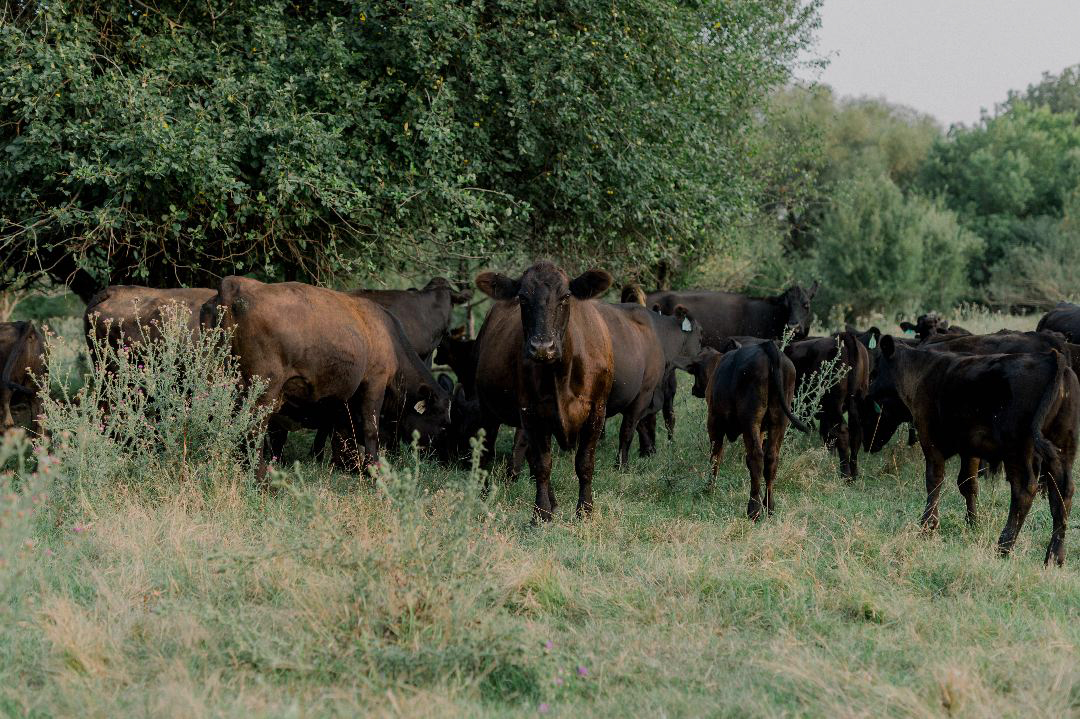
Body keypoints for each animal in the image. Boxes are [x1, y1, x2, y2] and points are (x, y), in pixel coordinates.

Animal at [205, 277, 451, 479]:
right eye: (442, 425)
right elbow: (370, 429)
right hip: (265, 388)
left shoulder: (344, 397)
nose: (439, 459)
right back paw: (260, 475)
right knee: (254, 427)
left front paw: (346, 465)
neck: (390, 337)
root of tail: (238, 284)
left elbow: (343, 429)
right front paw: (374, 470)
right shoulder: (375, 382)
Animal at [473, 261, 615, 520]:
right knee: (488, 451)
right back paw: (484, 497)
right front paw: (541, 513)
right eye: (522, 297)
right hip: (487, 408)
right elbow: (542, 464)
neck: (560, 373)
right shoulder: (531, 411)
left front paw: (585, 510)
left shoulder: (598, 409)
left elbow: (585, 462)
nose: (542, 347)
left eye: (566, 296)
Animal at [690, 341, 810, 520]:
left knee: (755, 458)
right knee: (771, 459)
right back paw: (769, 507)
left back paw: (753, 509)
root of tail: (766, 347)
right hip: (779, 421)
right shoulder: (761, 431)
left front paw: (709, 489)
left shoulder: (714, 423)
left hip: (749, 420)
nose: (694, 389)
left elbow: (715, 457)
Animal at [784, 332, 870, 479]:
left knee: (842, 432)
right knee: (856, 433)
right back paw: (854, 474)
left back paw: (845, 475)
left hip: (834, 404)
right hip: (857, 401)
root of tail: (844, 337)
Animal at [870, 336, 1079, 565]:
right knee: (1062, 493)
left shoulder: (929, 438)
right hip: (1063, 446)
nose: (869, 388)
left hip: (1017, 448)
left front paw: (927, 526)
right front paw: (972, 523)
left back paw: (1004, 546)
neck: (921, 370)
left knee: (1024, 489)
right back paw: (1055, 555)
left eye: (875, 370)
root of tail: (1051, 357)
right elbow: (967, 483)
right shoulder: (970, 448)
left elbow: (934, 481)